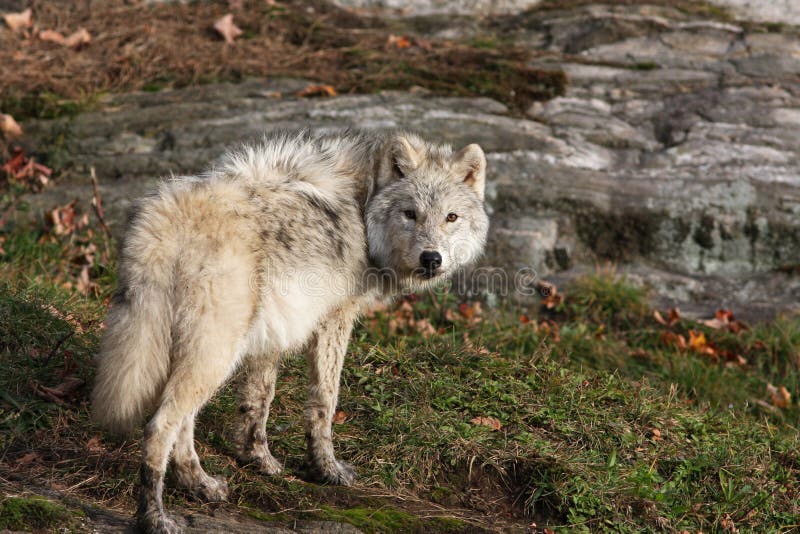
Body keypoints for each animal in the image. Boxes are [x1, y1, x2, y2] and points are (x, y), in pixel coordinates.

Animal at [90, 129, 489, 533]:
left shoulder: (273, 328)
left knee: (183, 421)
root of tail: (169, 214)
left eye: (451, 217)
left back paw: (199, 484)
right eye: (410, 214)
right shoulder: (334, 319)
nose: (432, 259)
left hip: (205, 349)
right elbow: (325, 401)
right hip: (216, 351)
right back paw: (155, 517)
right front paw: (327, 470)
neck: (362, 206)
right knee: (160, 427)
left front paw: (257, 460)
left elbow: (259, 400)